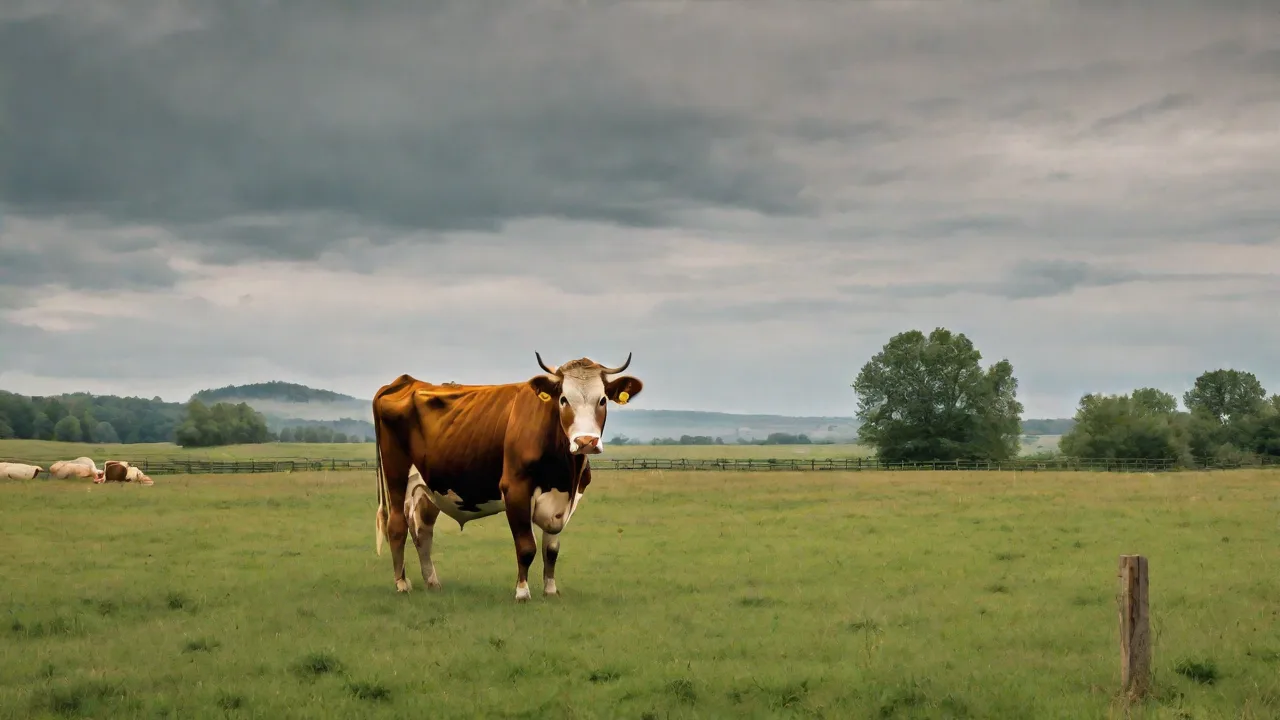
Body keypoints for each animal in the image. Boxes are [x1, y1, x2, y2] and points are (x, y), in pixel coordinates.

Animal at [372, 352, 642, 602]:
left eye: (603, 400)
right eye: (564, 399)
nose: (586, 441)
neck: (565, 472)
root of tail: (404, 382)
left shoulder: (565, 500)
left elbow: (551, 549)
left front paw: (550, 590)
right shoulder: (516, 490)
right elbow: (526, 546)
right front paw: (522, 592)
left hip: (430, 486)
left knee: (423, 532)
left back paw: (432, 582)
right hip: (396, 477)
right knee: (397, 525)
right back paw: (402, 584)